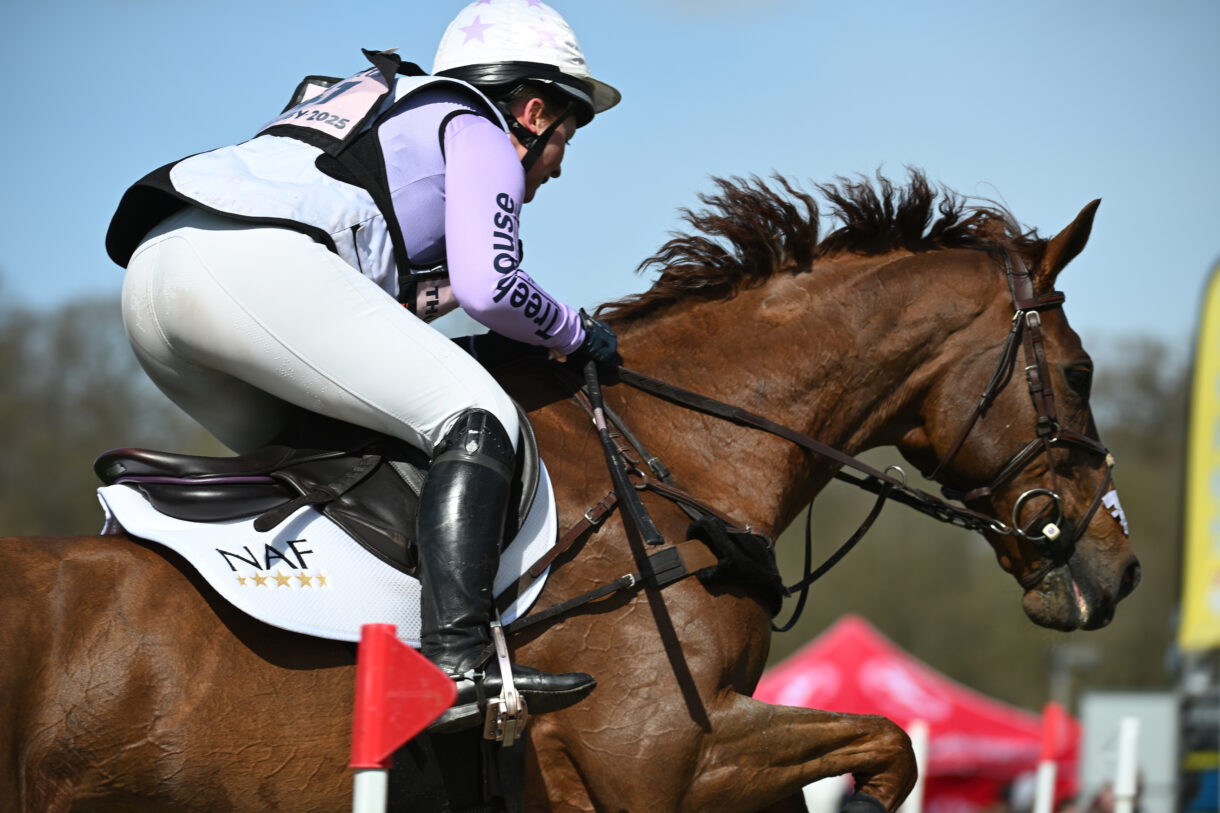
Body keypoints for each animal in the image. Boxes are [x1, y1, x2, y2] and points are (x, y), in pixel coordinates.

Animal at [0, 171, 1139, 812]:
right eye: (1079, 373)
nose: (1118, 568)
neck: (681, 460)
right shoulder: (667, 755)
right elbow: (888, 746)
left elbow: (881, 746)